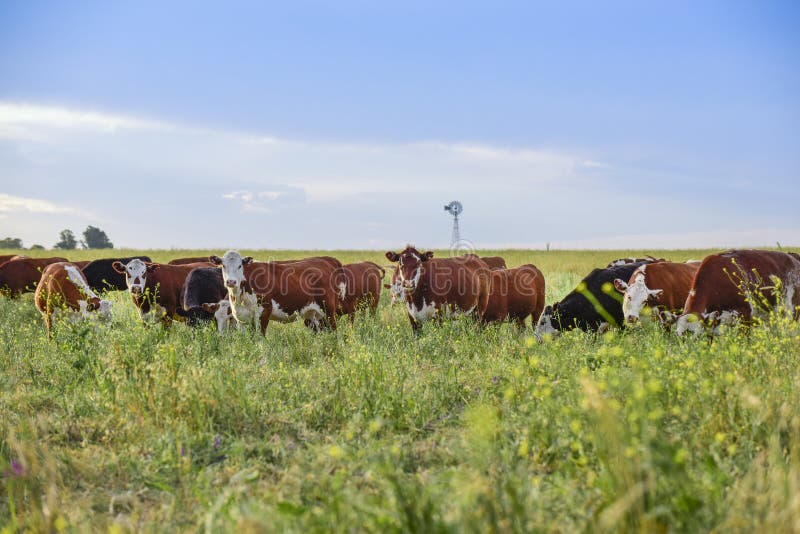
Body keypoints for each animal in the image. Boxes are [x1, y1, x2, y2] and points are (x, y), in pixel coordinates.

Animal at [210, 251, 342, 334]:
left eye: (239, 266)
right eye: (223, 265)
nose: (231, 281)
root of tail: (325, 260)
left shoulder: (263, 312)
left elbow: (259, 337)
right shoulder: (240, 318)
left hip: (329, 312)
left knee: (334, 332)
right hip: (313, 315)